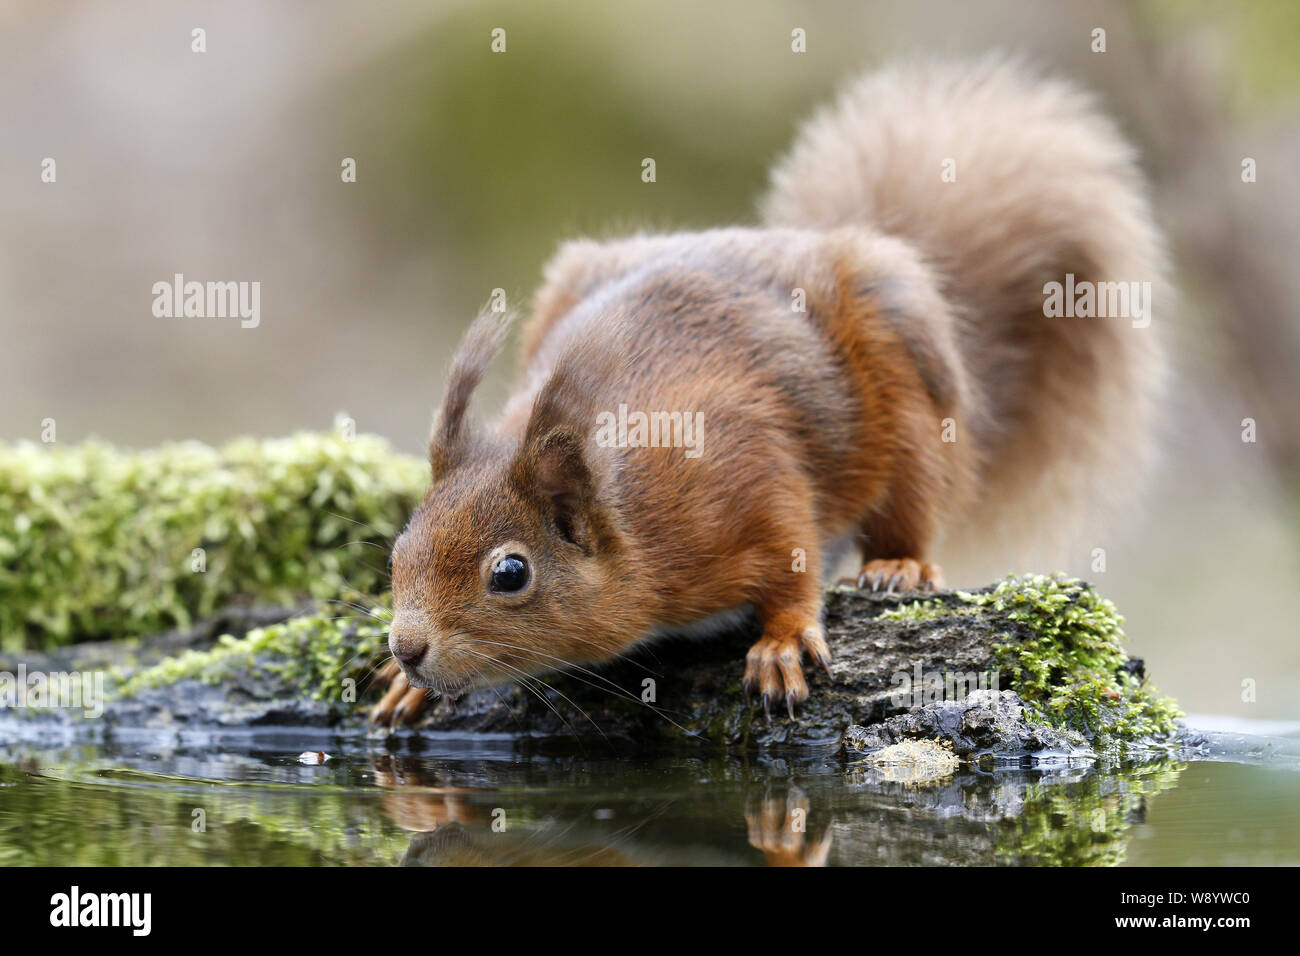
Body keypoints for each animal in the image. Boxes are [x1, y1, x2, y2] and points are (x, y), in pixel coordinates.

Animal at [372, 57, 1166, 727]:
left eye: (510, 573)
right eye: (399, 549)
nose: (408, 646)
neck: (628, 516)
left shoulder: (743, 473)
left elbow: (793, 557)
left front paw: (782, 642)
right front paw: (407, 685)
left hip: (912, 407)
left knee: (910, 507)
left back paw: (898, 565)